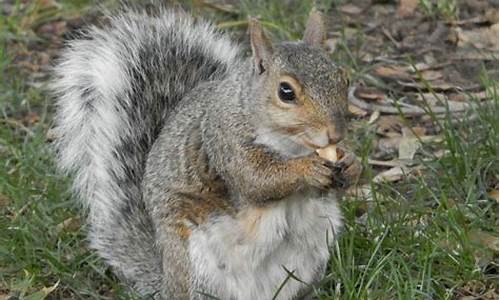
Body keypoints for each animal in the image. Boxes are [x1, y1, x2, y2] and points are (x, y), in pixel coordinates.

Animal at [52, 5, 362, 300]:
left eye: (344, 79)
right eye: (286, 91)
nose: (336, 133)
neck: (292, 144)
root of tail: (167, 282)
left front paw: (351, 163)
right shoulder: (224, 141)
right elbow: (255, 179)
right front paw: (307, 169)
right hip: (194, 263)